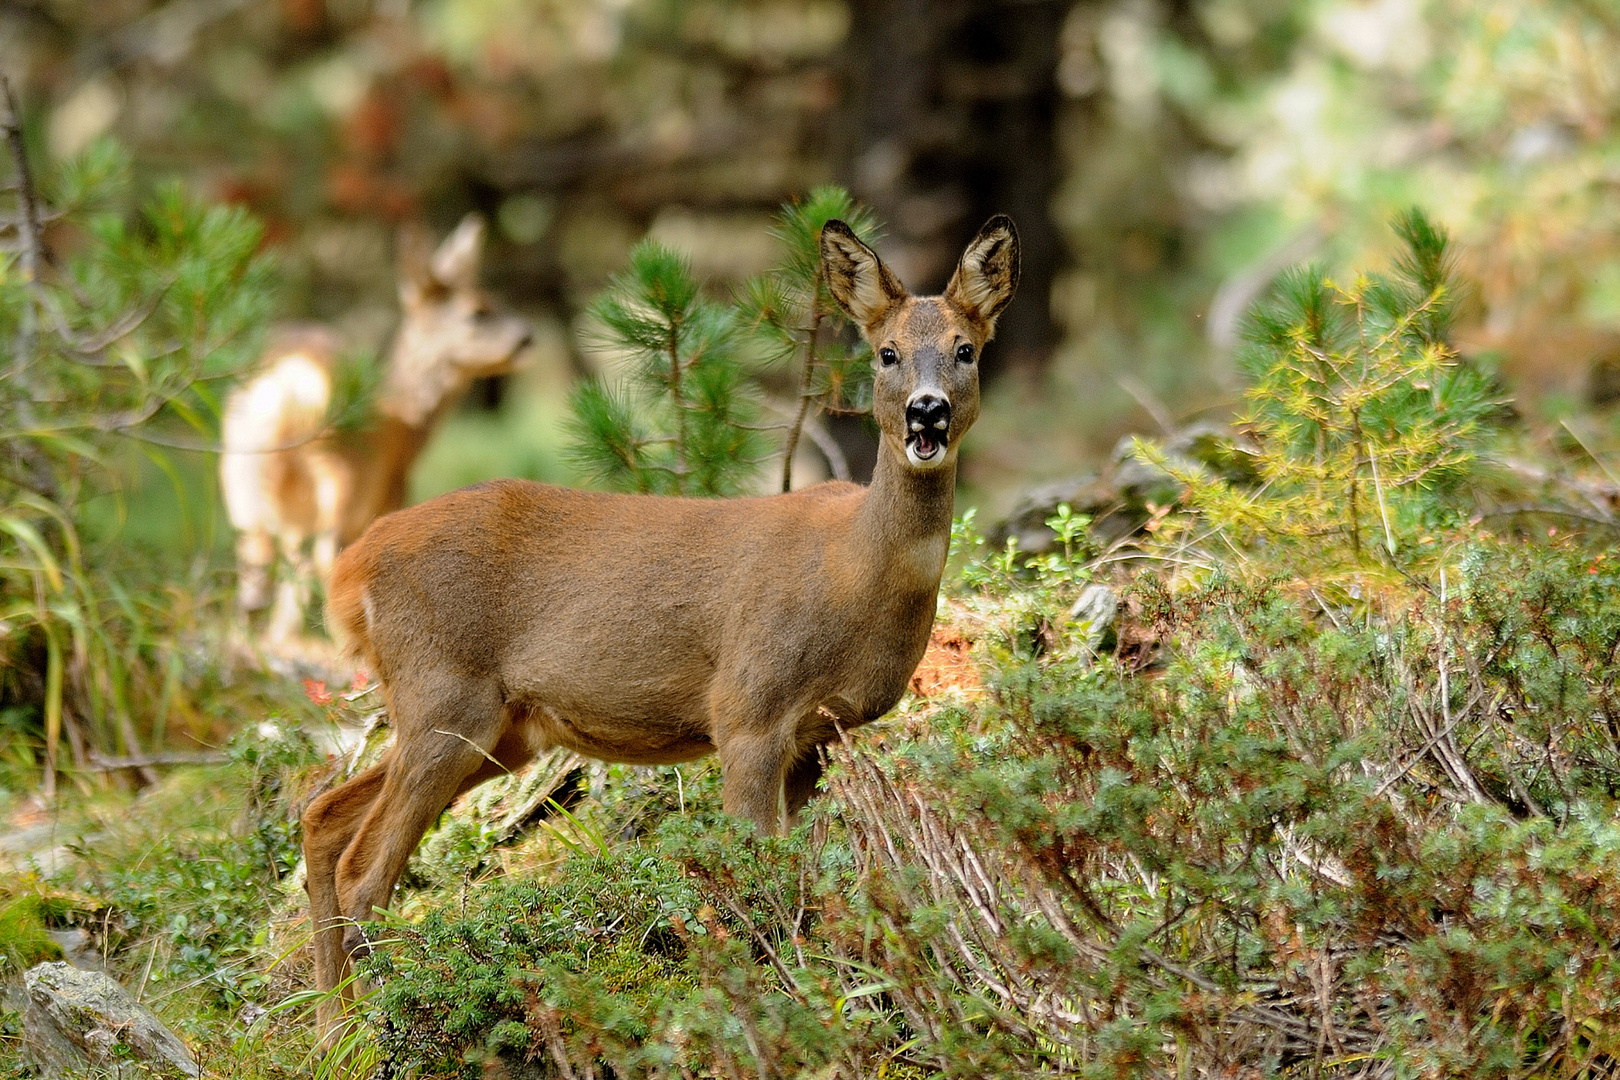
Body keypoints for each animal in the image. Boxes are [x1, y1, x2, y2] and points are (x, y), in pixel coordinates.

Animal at [215, 216, 528, 647]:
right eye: (478, 312)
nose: (527, 336)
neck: (406, 421)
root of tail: (291, 381)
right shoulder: (393, 487)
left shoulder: (294, 515)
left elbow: (293, 563)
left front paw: (283, 635)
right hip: (345, 473)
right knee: (327, 556)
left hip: (241, 467)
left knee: (257, 557)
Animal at [299, 213, 1017, 1036]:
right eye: (886, 352)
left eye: (967, 349)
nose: (926, 412)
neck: (851, 573)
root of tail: (349, 572)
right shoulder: (748, 707)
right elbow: (756, 876)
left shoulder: (817, 736)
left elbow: (801, 871)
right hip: (445, 693)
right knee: (363, 869)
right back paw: (378, 1027)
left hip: (495, 727)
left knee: (322, 816)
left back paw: (330, 1033)